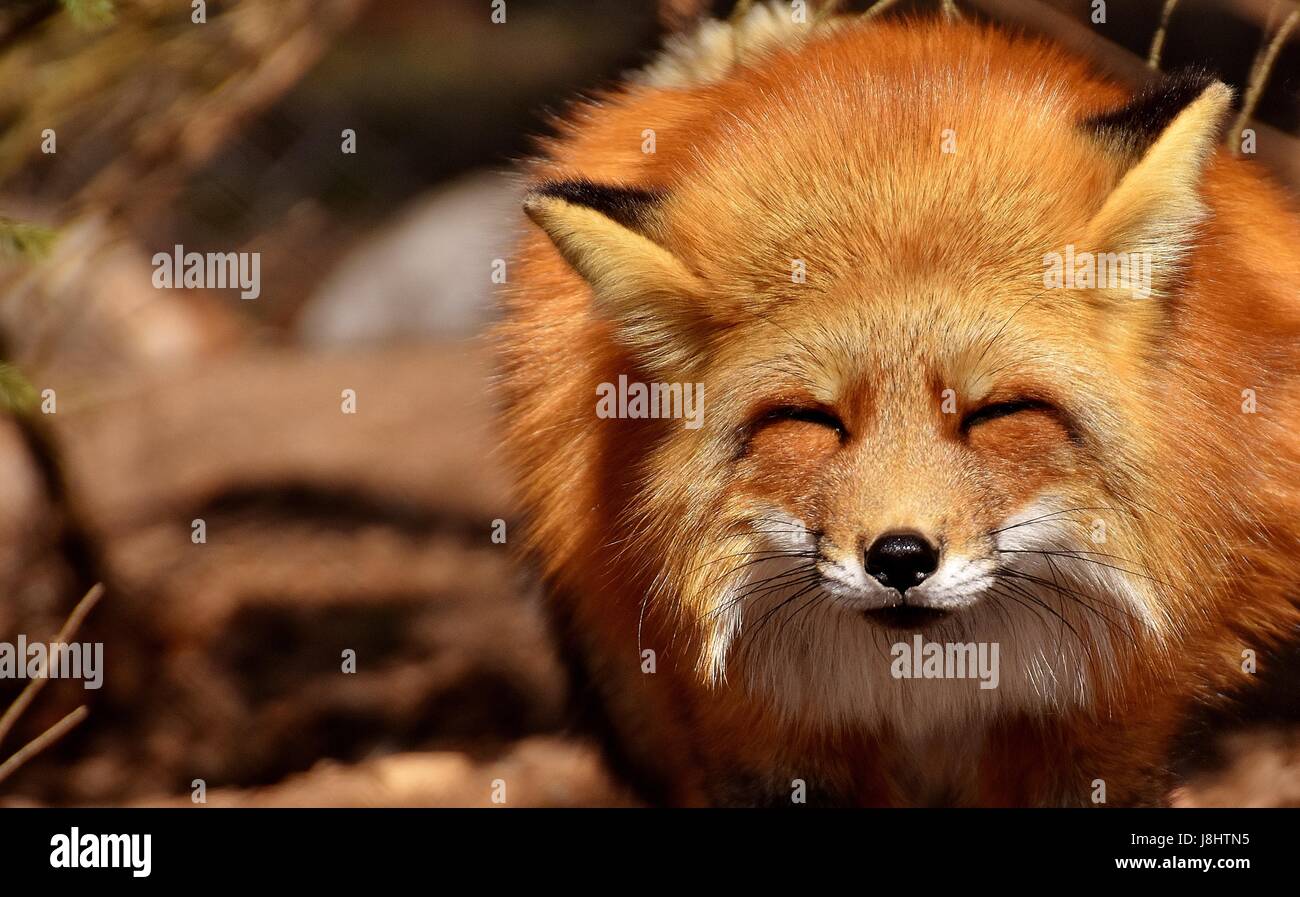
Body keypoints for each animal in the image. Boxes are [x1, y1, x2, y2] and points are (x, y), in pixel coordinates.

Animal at [496, 4, 1300, 806]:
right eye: (813, 420)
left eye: (994, 413)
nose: (900, 558)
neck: (927, 693)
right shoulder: (758, 734)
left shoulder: (1107, 726)